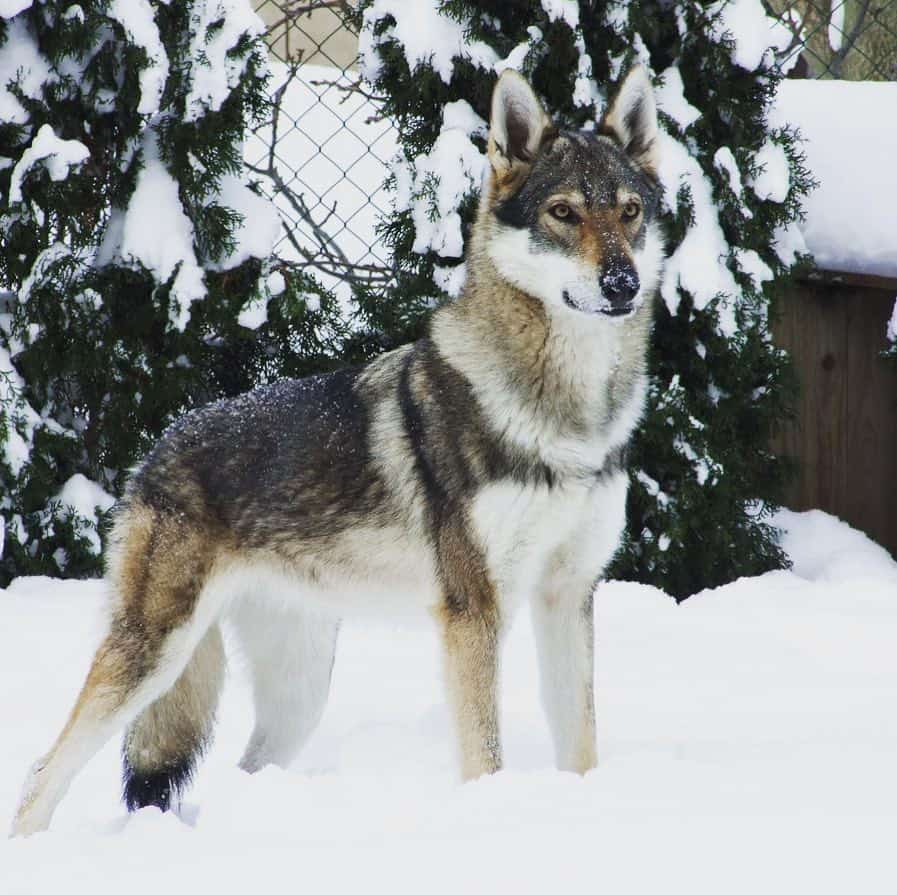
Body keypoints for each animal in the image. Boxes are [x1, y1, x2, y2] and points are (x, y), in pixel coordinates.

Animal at [11, 65, 663, 836]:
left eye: (629, 212)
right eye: (564, 213)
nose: (622, 284)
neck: (569, 414)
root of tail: (156, 450)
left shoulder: (568, 593)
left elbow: (581, 744)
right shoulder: (474, 611)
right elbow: (485, 754)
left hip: (298, 692)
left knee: (241, 766)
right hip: (154, 655)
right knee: (42, 773)